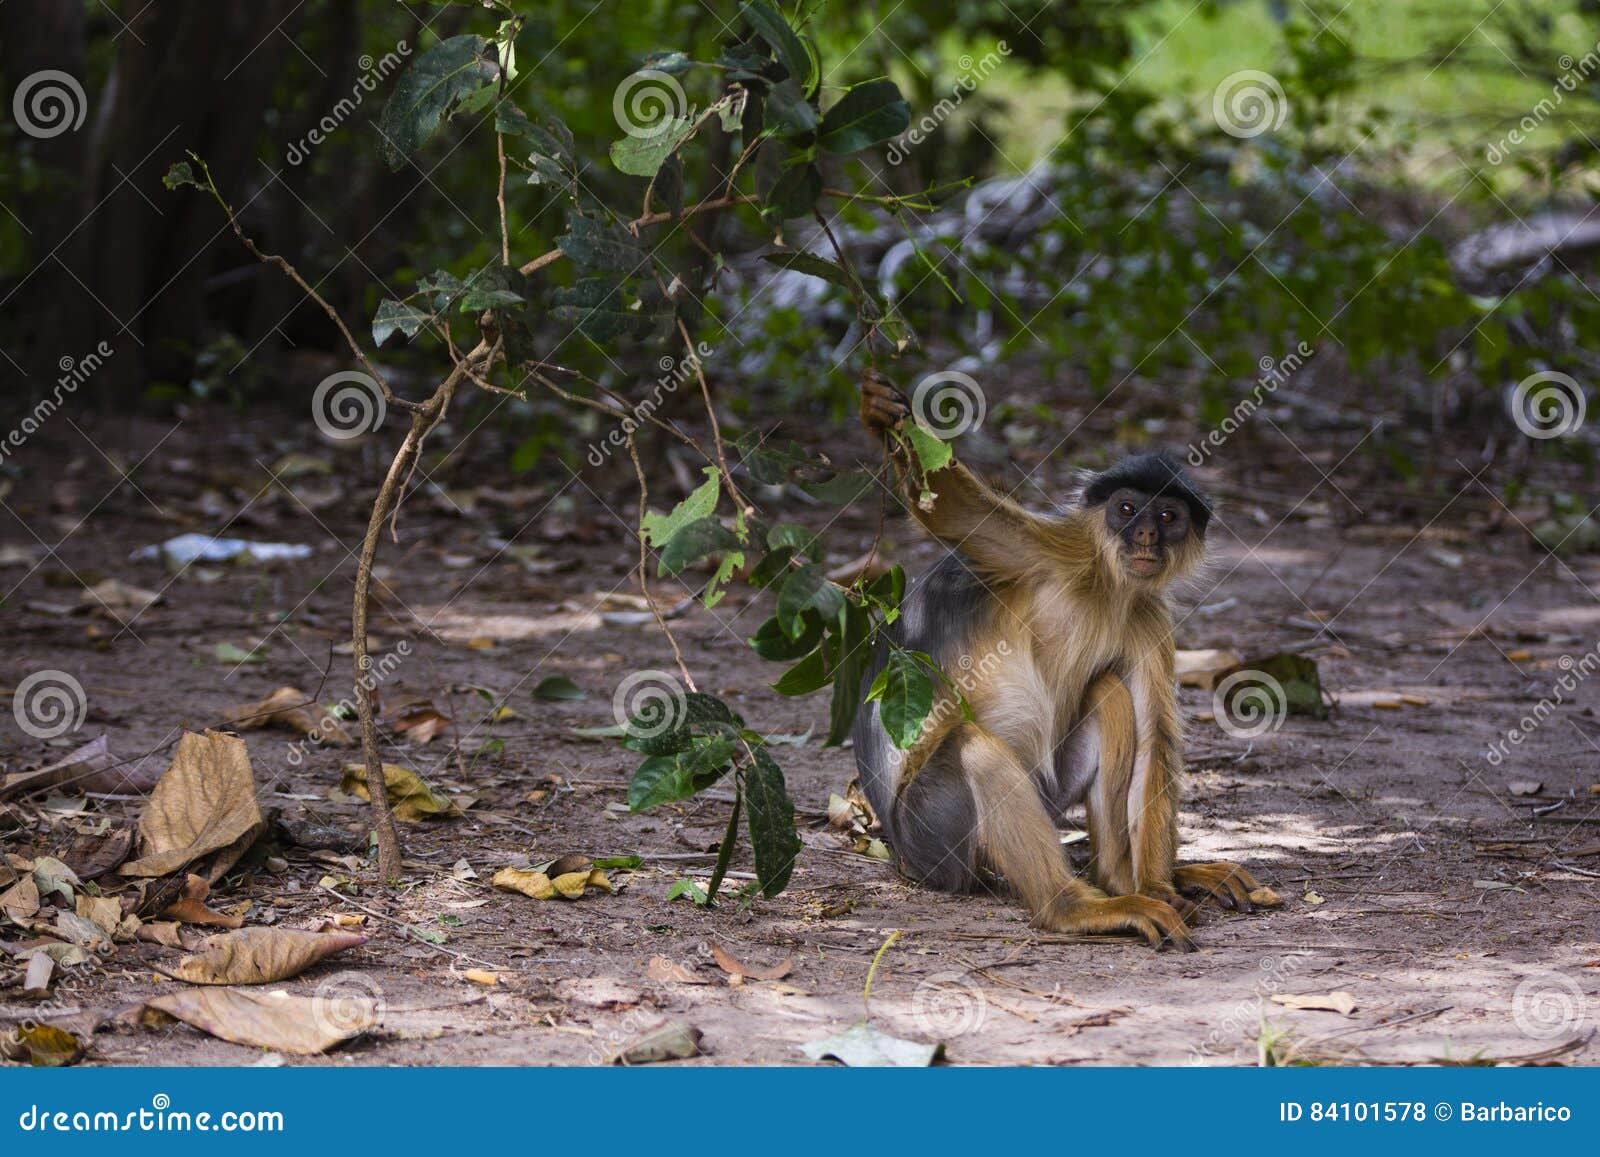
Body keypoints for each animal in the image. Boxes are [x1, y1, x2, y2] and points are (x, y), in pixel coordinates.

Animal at [852, 372, 1271, 950]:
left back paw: (1121, 881)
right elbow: (954, 513)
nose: (1145, 535)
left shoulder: (1146, 614)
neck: (1104, 584)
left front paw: (1160, 886)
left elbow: (1155, 739)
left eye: (1167, 516)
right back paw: (1073, 907)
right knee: (973, 749)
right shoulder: (1055, 551)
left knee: (1110, 695)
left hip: (1044, 792)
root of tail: (897, 850)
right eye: (1126, 509)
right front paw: (881, 413)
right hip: (932, 839)